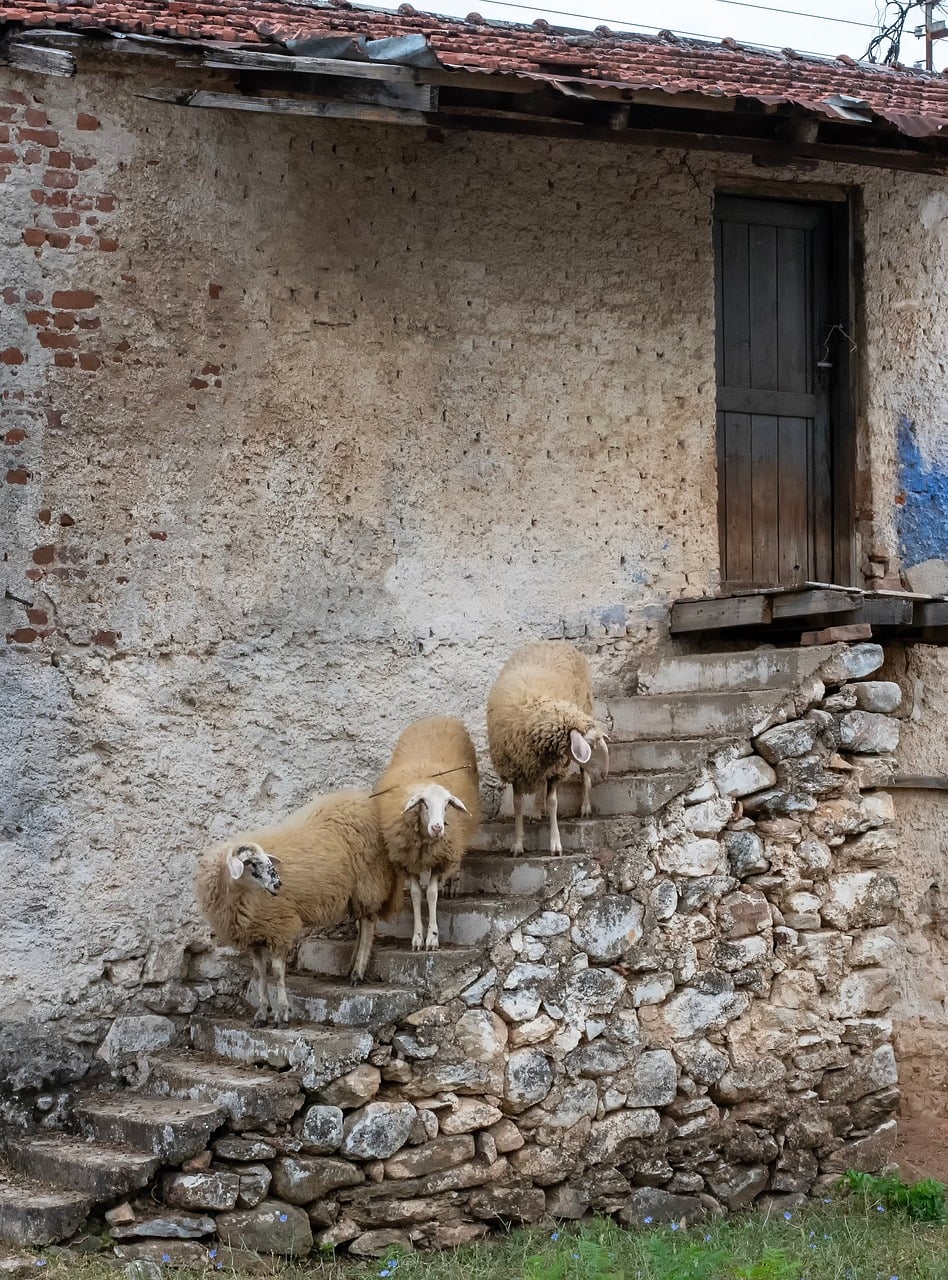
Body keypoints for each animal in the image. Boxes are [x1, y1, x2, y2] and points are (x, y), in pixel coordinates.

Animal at [195, 789, 401, 1026]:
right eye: (251, 863)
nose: (278, 884)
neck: (238, 895)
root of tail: (364, 798)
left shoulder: (279, 927)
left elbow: (277, 973)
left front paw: (282, 1012)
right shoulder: (254, 934)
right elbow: (259, 974)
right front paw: (261, 1013)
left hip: (368, 881)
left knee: (367, 923)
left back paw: (358, 972)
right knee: (361, 922)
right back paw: (352, 965)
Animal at [374, 716, 481, 952]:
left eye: (447, 804)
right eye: (423, 803)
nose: (438, 828)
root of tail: (440, 717)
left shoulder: (440, 858)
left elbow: (431, 894)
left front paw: (432, 938)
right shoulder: (407, 860)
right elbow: (416, 895)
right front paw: (417, 938)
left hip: (458, 838)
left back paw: (453, 884)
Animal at [486, 640, 609, 856]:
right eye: (591, 745)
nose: (604, 775)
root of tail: (557, 641)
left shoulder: (556, 767)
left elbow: (553, 802)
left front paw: (556, 844)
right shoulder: (517, 767)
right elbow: (518, 805)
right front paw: (517, 845)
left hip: (584, 707)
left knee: (583, 773)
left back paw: (585, 806)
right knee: (540, 783)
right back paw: (536, 811)